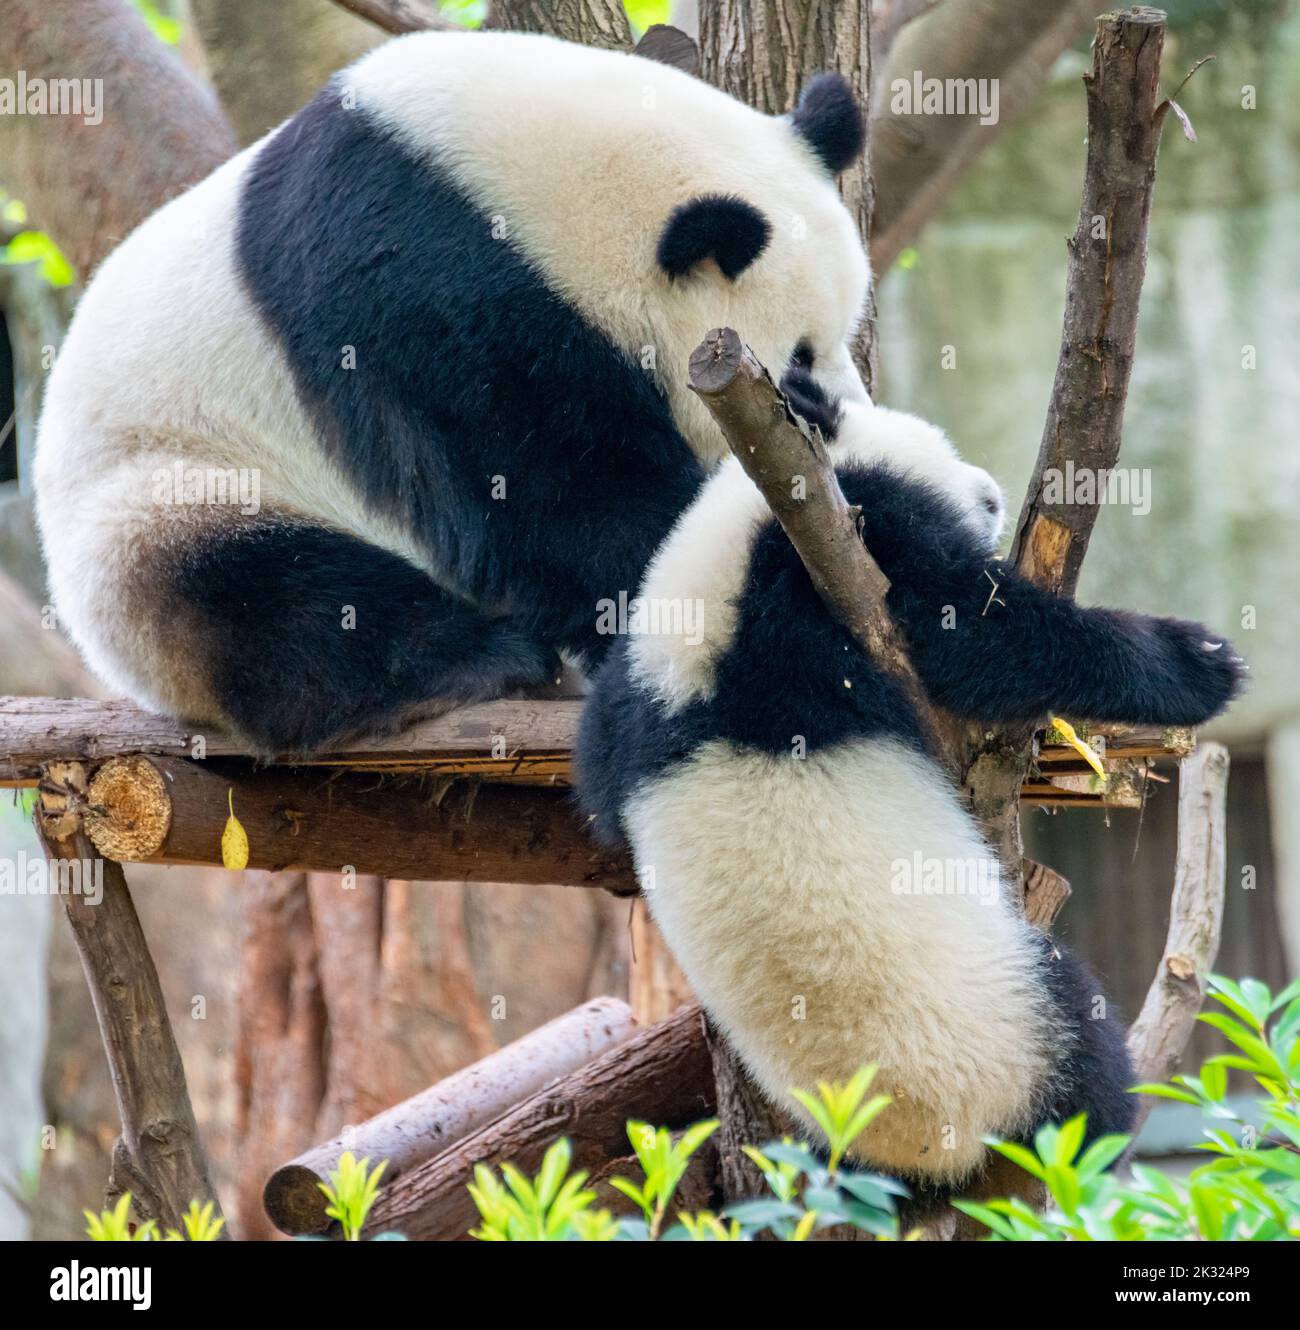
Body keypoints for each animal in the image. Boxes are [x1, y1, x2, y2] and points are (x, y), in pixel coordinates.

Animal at [34, 31, 871, 753]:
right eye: (798, 354)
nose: (843, 412)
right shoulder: (417, 282)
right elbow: (548, 496)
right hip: (173, 495)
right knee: (276, 597)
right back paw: (477, 661)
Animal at [575, 372, 1244, 1190]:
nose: (990, 496)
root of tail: (935, 1148)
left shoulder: (628, 705)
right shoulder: (826, 569)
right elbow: (983, 632)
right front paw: (1199, 662)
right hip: (1014, 1019)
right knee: (1085, 1058)